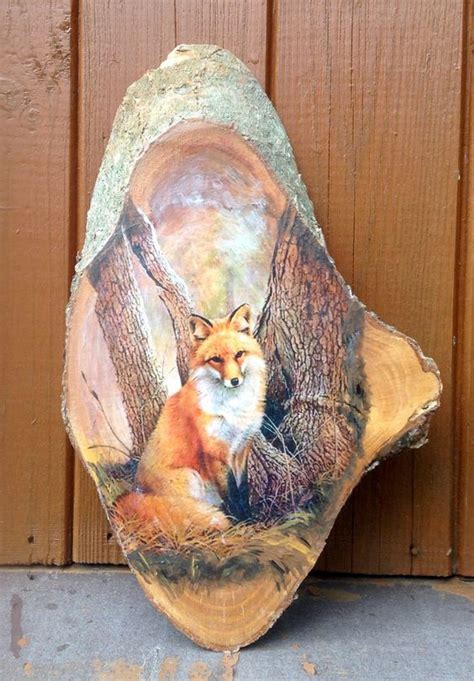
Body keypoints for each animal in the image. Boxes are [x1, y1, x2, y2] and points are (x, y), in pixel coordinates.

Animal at [114, 303, 267, 535]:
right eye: (216, 359)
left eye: (239, 354)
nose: (234, 381)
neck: (233, 408)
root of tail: (135, 494)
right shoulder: (216, 453)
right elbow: (231, 493)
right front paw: (240, 523)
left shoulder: (241, 449)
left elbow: (242, 490)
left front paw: (249, 518)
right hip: (190, 477)